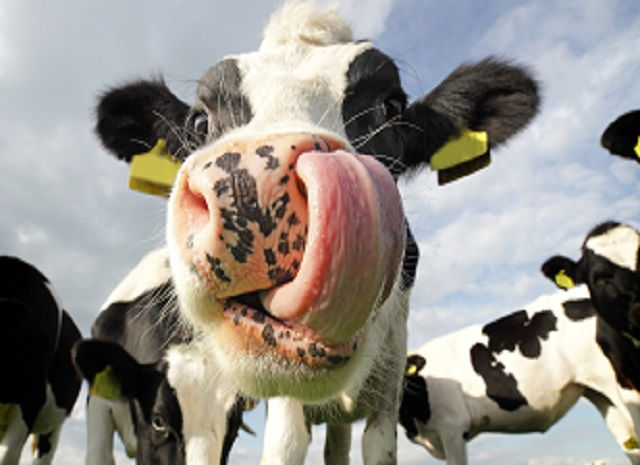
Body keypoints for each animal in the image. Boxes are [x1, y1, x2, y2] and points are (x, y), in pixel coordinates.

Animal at [93, 2, 540, 463]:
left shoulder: (389, 380)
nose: (251, 189)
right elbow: (286, 444)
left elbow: (378, 448)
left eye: (391, 106)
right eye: (200, 121)